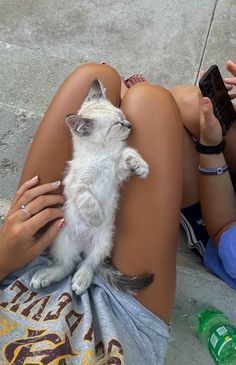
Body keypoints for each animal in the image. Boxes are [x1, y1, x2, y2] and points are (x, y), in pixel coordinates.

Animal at [30, 80, 152, 296]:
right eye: (117, 124)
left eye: (123, 117)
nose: (130, 124)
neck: (102, 152)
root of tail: (82, 244)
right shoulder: (75, 184)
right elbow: (86, 199)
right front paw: (96, 218)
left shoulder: (116, 173)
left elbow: (128, 153)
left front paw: (140, 167)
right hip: (63, 240)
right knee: (67, 265)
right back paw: (47, 276)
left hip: (104, 241)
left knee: (88, 263)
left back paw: (80, 280)